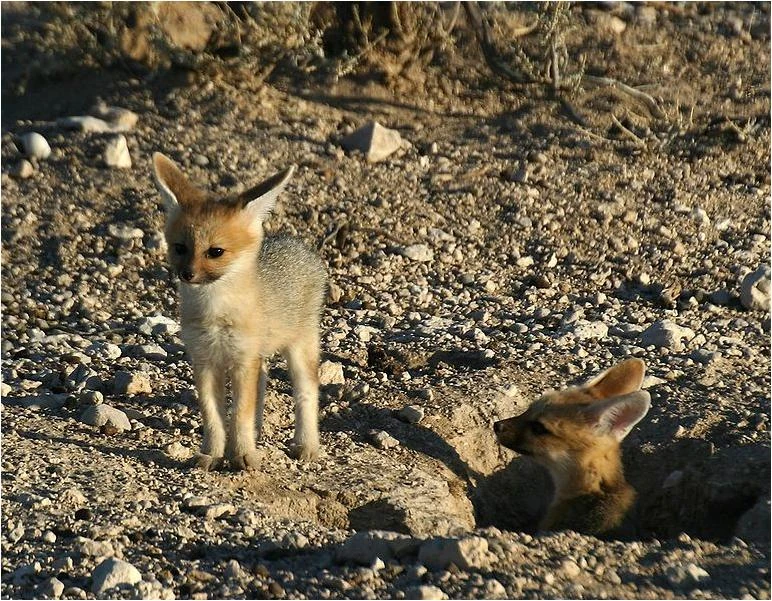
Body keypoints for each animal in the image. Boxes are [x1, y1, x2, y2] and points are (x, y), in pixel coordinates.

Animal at [151, 153, 327, 471]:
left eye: (215, 252)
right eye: (180, 248)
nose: (187, 274)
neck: (214, 313)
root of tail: (298, 243)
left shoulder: (243, 361)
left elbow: (240, 414)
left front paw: (243, 454)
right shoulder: (205, 361)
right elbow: (213, 416)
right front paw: (213, 453)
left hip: (298, 350)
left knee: (306, 395)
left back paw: (306, 445)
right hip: (258, 357)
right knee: (263, 387)